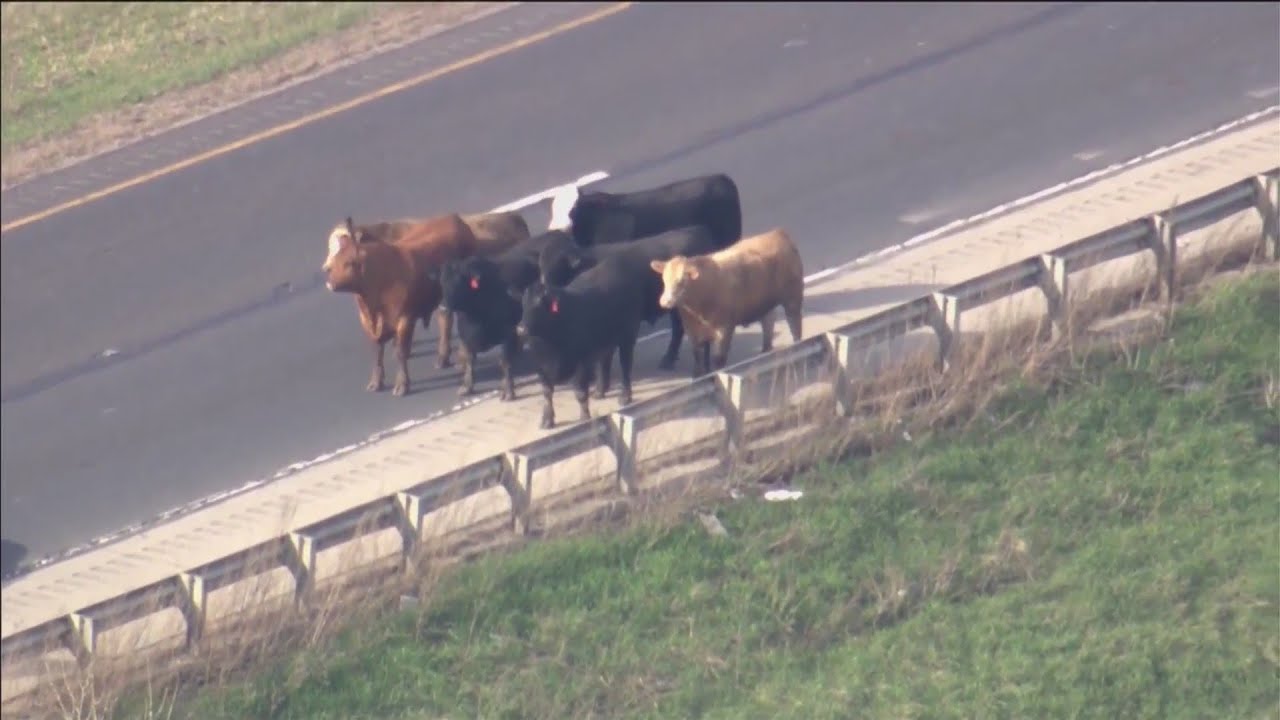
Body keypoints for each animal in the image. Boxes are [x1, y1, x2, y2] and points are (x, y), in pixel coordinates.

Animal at [322, 214, 480, 396]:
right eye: (336, 257)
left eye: (349, 262)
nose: (328, 275)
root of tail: (453, 217)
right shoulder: (369, 324)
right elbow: (377, 352)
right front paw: (375, 383)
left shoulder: (405, 319)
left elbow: (400, 352)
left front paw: (402, 385)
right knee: (445, 319)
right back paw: (443, 358)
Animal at [437, 230, 575, 400]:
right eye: (442, 282)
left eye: (459, 283)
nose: (443, 307)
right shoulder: (467, 337)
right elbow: (470, 360)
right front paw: (467, 387)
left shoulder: (509, 334)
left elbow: (504, 361)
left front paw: (508, 391)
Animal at [515, 254, 650, 430]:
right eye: (523, 305)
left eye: (540, 305)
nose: (521, 329)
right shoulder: (541, 369)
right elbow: (547, 394)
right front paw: (547, 420)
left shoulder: (582, 363)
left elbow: (579, 392)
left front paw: (584, 416)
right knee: (605, 360)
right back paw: (599, 392)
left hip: (628, 337)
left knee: (625, 365)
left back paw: (625, 396)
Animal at [537, 225, 721, 371]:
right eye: (541, 264)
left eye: (557, 267)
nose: (545, 287)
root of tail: (697, 231)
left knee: (679, 329)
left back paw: (669, 359)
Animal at [650, 228, 805, 377]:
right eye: (664, 279)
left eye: (681, 281)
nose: (665, 301)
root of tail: (778, 233)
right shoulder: (692, 331)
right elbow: (698, 358)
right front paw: (698, 376)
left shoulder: (724, 329)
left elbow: (718, 359)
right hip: (765, 305)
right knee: (768, 323)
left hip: (793, 299)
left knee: (795, 327)